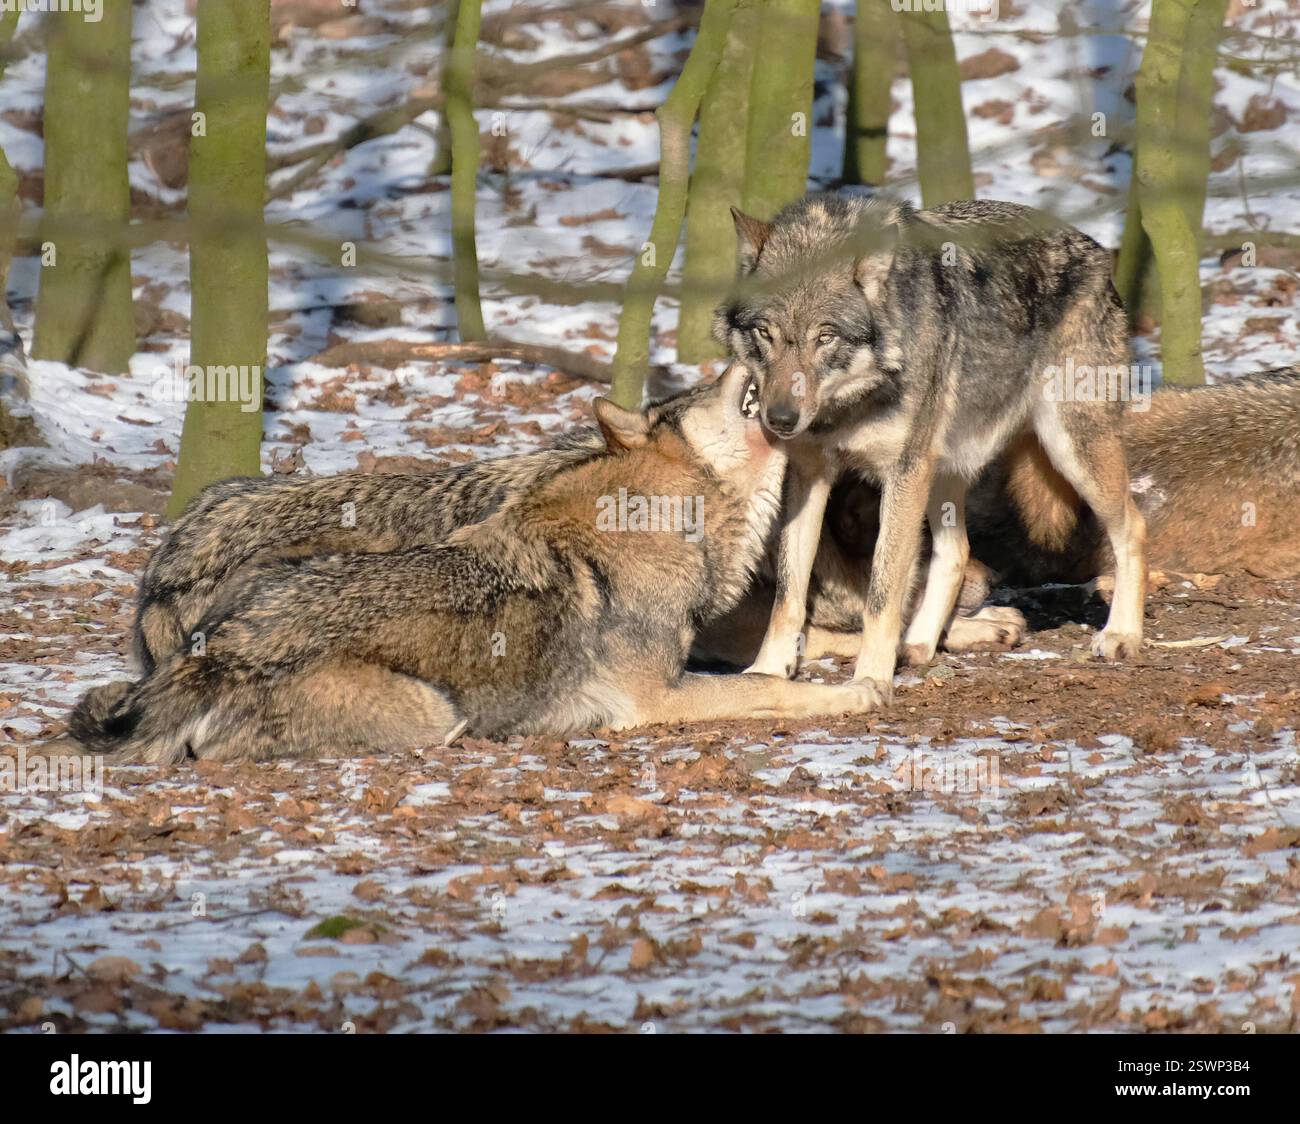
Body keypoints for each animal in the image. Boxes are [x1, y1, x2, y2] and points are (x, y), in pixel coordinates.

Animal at [69, 363, 885, 763]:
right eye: (696, 396)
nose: (740, 349)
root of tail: (221, 652)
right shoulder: (654, 699)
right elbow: (773, 690)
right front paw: (854, 692)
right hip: (436, 715)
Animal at [719, 192, 1147, 695]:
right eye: (764, 333)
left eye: (825, 337)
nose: (780, 419)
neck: (850, 404)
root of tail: (1095, 248)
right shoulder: (809, 475)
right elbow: (789, 592)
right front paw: (767, 671)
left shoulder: (901, 474)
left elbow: (882, 592)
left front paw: (870, 679)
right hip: (941, 473)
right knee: (957, 551)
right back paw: (918, 644)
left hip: (1072, 450)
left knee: (1134, 527)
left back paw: (1121, 634)